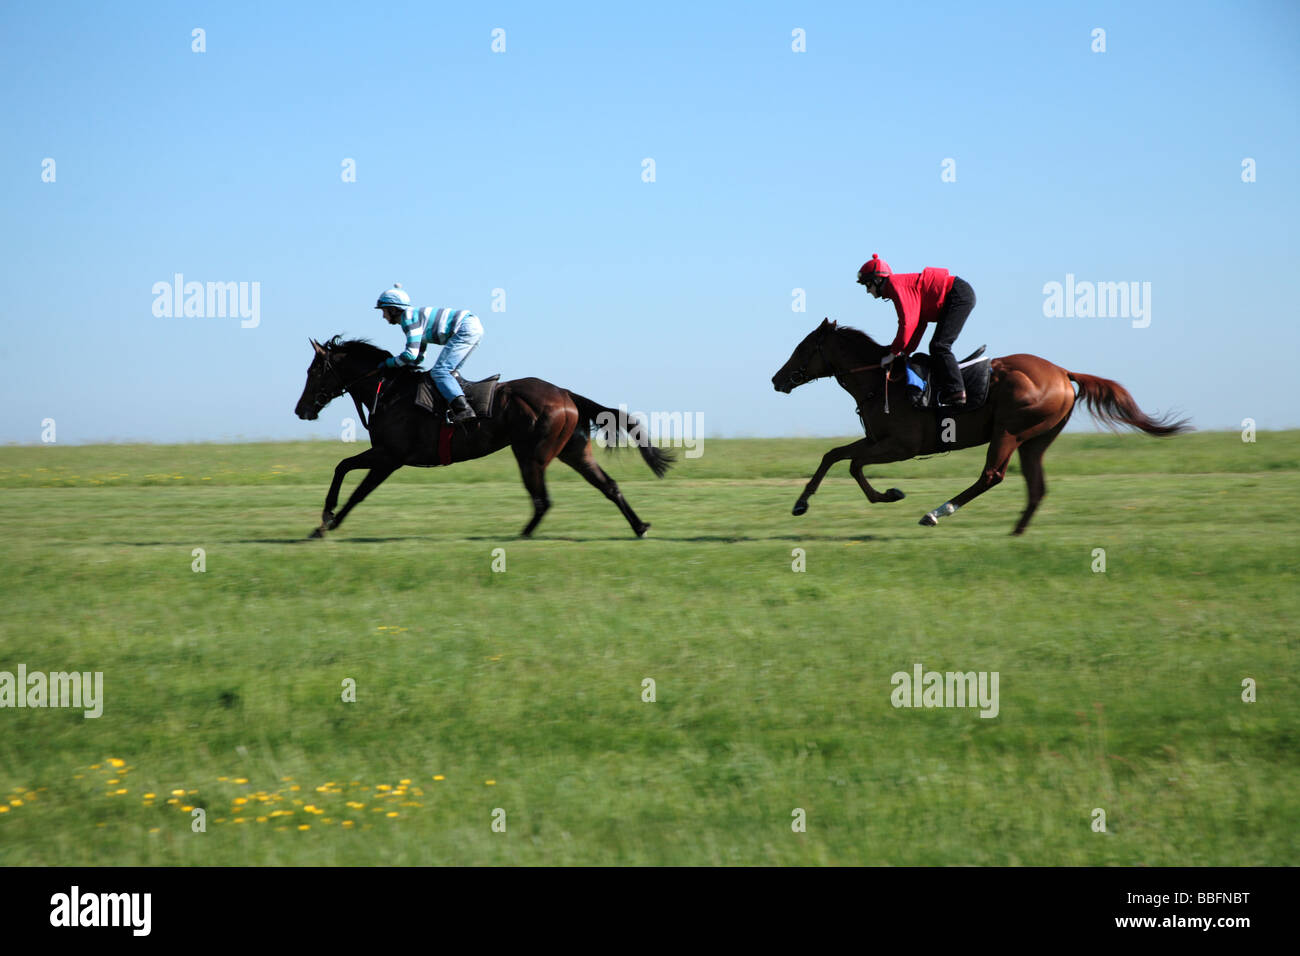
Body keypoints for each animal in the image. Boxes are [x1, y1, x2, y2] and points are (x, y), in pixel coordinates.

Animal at [294, 336, 673, 538]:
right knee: (608, 486)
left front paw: (325, 524)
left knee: (543, 499)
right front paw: (326, 520)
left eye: (314, 371)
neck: (389, 391)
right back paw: (639, 526)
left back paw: (523, 534)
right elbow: (344, 469)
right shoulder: (386, 455)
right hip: (573, 451)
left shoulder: (391, 456)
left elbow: (353, 484)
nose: (301, 410)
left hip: (531, 454)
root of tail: (566, 394)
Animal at [771, 319, 1190, 534]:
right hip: (1035, 439)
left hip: (1009, 430)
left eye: (803, 347)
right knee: (1036, 485)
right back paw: (1016, 532)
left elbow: (854, 465)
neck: (880, 380)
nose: (777, 379)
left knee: (992, 475)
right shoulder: (876, 439)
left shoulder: (901, 447)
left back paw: (938, 512)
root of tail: (1061, 372)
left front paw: (889, 495)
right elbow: (833, 455)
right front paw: (800, 503)